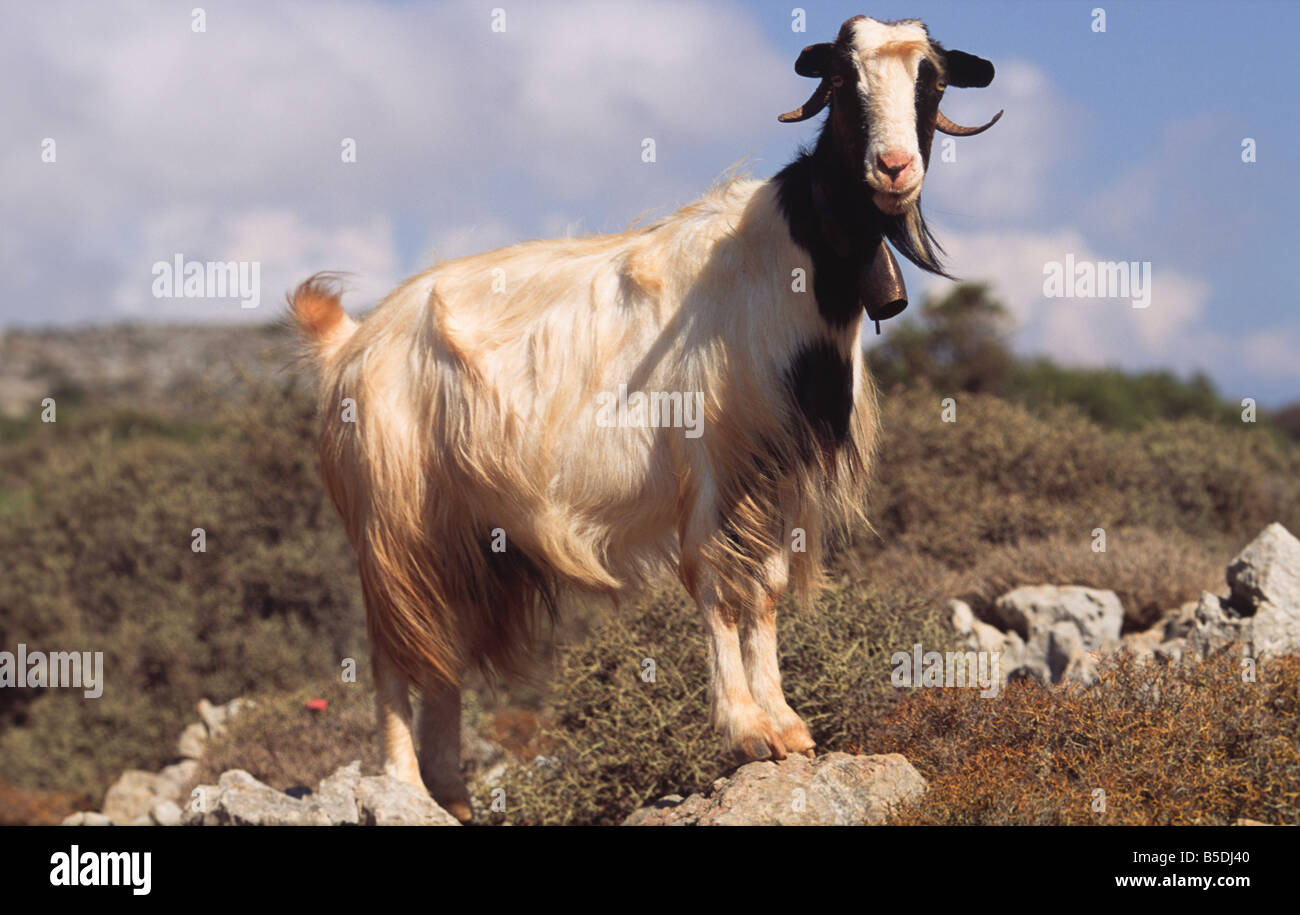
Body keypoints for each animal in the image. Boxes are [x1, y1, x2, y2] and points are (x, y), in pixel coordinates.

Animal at [290, 15, 999, 822]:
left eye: (932, 82)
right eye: (845, 81)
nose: (893, 168)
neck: (786, 258)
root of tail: (349, 343)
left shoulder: (777, 473)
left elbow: (766, 590)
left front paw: (786, 724)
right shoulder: (712, 465)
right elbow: (719, 586)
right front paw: (749, 729)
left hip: (461, 532)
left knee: (440, 650)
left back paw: (452, 795)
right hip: (391, 519)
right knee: (393, 646)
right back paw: (403, 784)